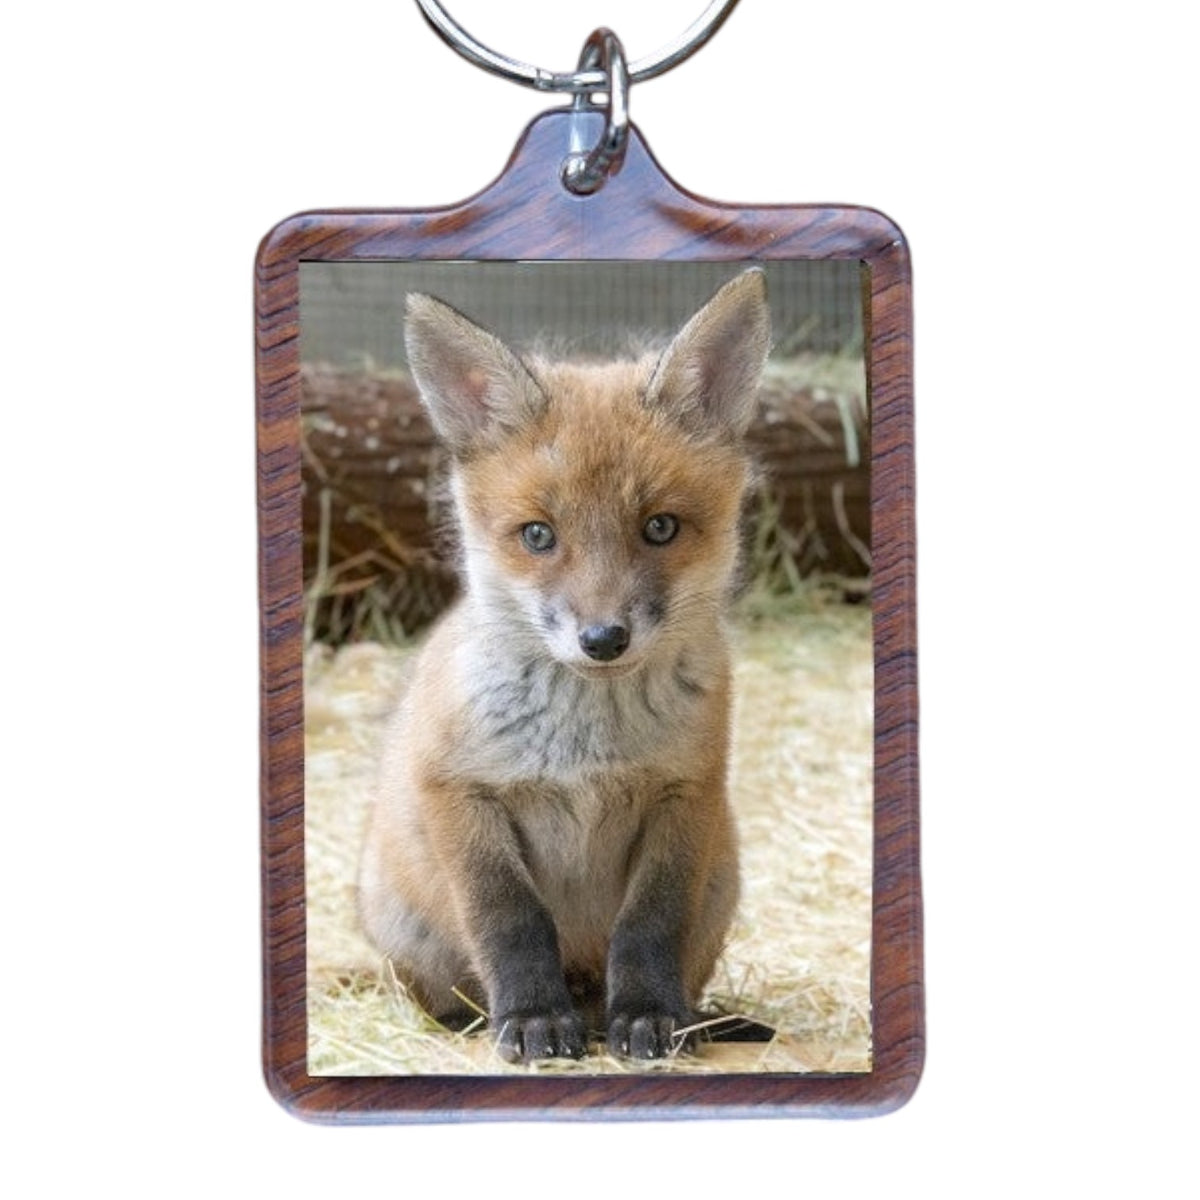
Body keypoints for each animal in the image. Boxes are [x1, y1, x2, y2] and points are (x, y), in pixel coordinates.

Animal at [357, 268, 772, 1063]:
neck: (587, 747)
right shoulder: (461, 793)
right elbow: (512, 923)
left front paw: (649, 1017)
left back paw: (690, 1019)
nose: (603, 638)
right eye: (538, 536)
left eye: (660, 527)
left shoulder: (686, 794)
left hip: (723, 877)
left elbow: (649, 926)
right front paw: (533, 1020)